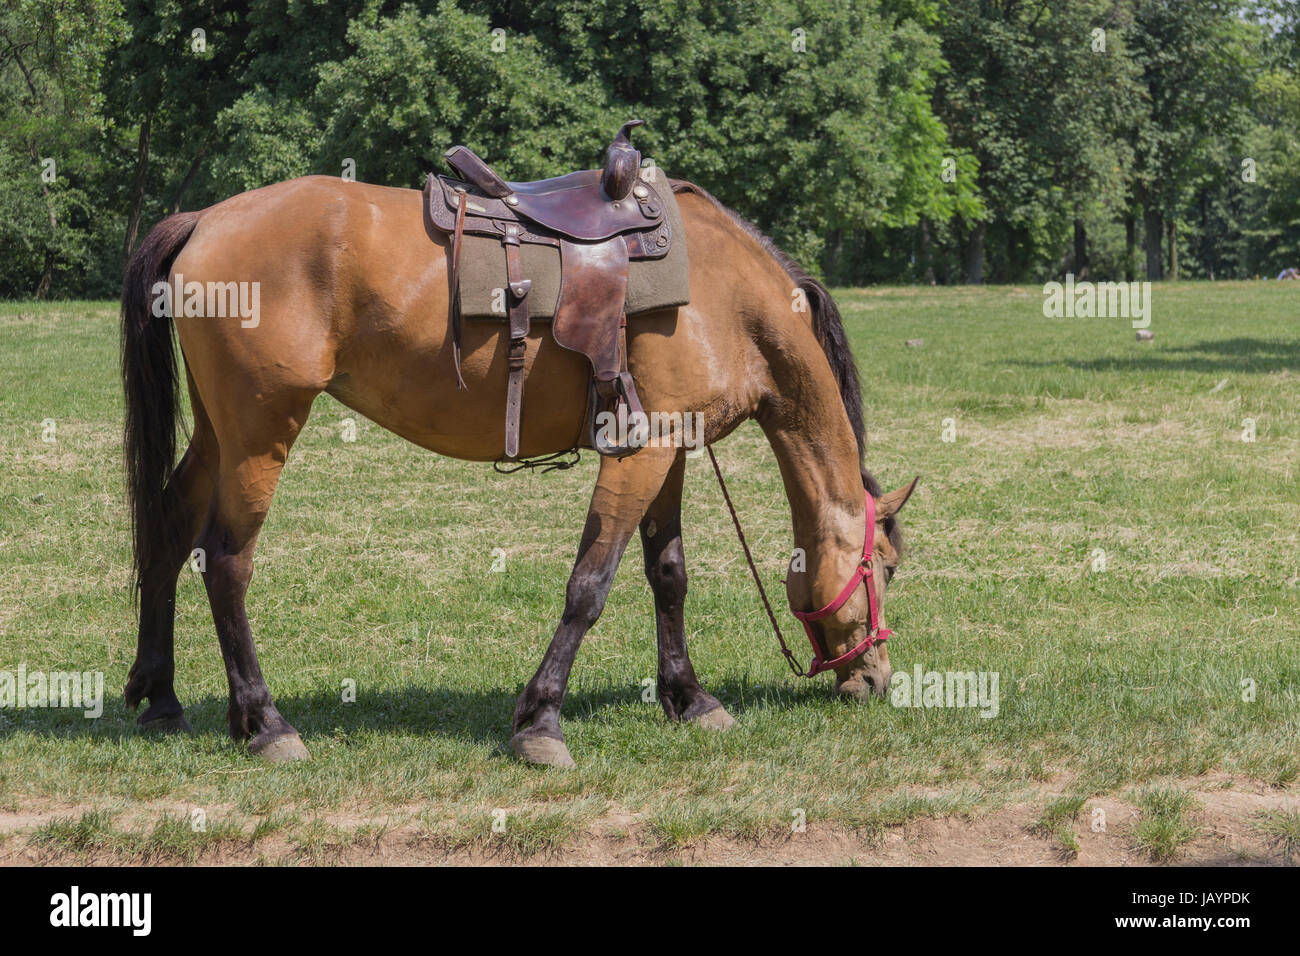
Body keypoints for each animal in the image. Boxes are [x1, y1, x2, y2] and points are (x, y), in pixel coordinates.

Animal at [120, 174, 917, 767]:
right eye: (883, 566)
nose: (876, 679)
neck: (726, 297)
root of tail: (205, 219)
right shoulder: (640, 453)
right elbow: (590, 586)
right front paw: (540, 721)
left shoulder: (669, 448)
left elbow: (668, 574)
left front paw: (690, 699)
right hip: (260, 437)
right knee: (225, 561)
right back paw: (265, 722)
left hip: (221, 436)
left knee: (167, 533)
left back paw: (162, 699)